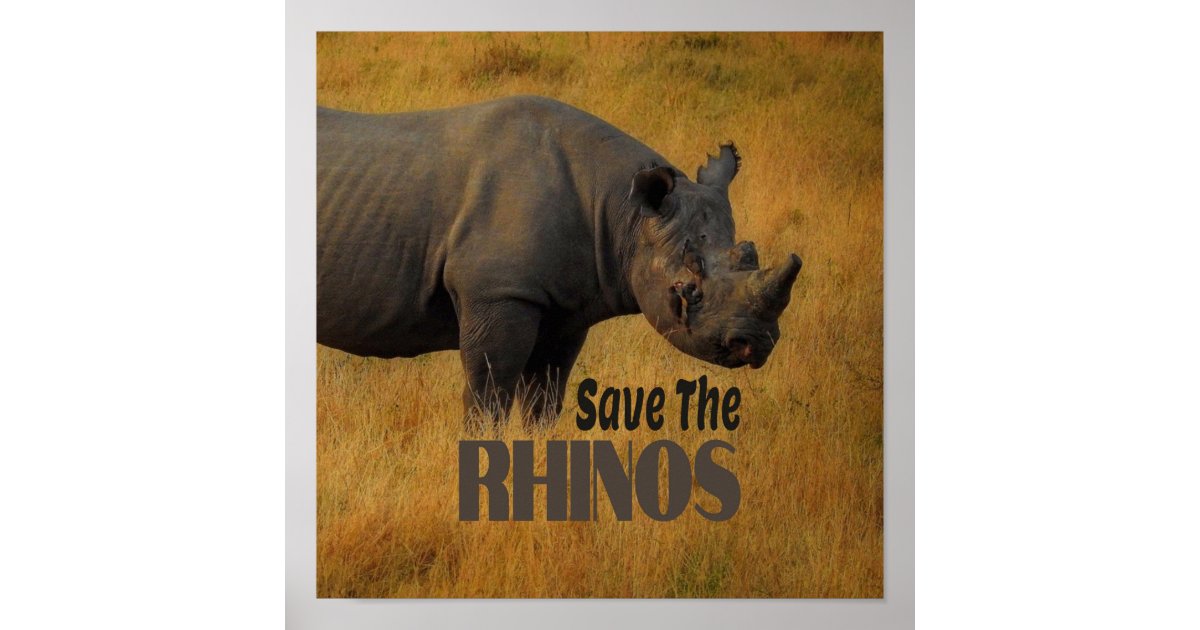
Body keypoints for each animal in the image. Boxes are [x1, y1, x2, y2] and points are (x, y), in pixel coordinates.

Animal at [318, 95, 802, 424]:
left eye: (748, 254)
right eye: (689, 289)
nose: (756, 343)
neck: (624, 211)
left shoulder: (566, 306)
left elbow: (545, 398)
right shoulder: (500, 292)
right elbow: (489, 392)